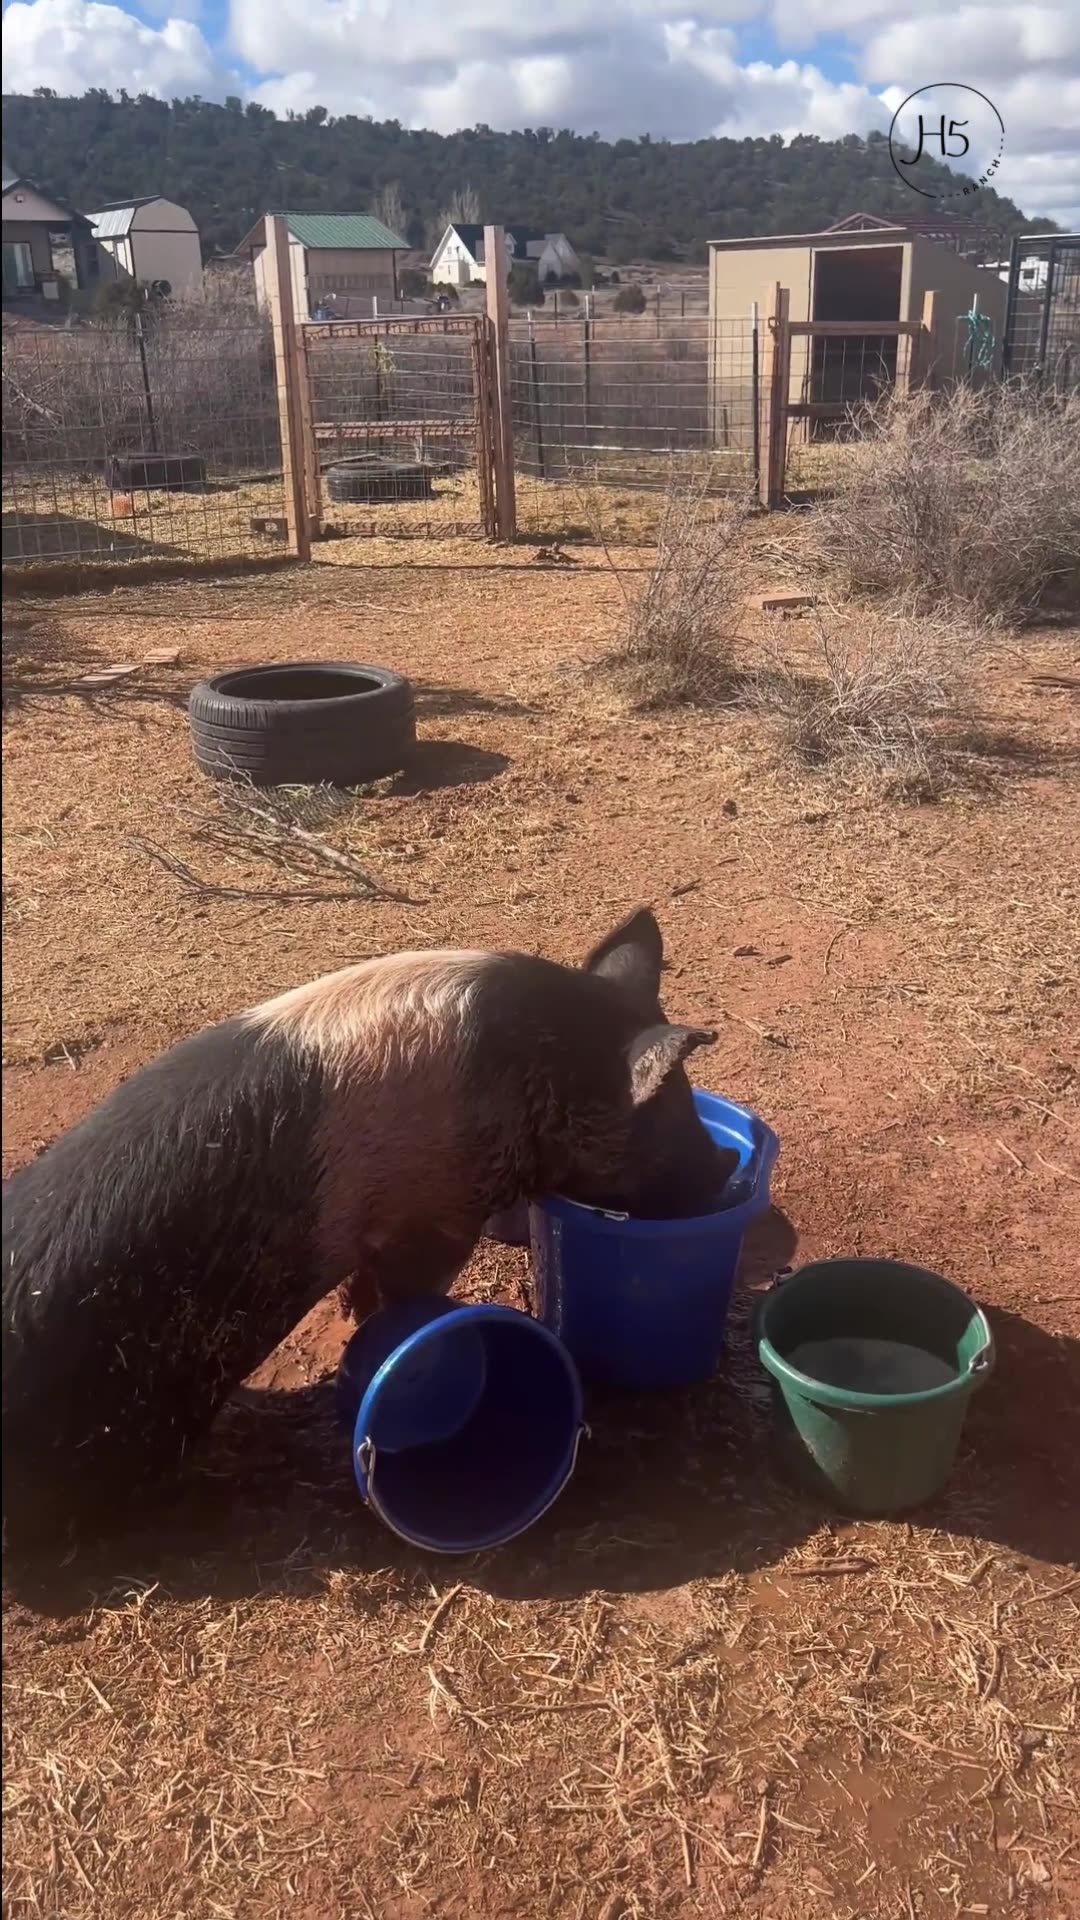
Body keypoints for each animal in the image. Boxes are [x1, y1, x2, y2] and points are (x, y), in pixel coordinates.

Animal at [2, 908, 735, 1550]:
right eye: (670, 1114)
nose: (726, 1168)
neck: (536, 1075)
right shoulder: (436, 1215)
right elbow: (409, 1288)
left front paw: (355, 1308)